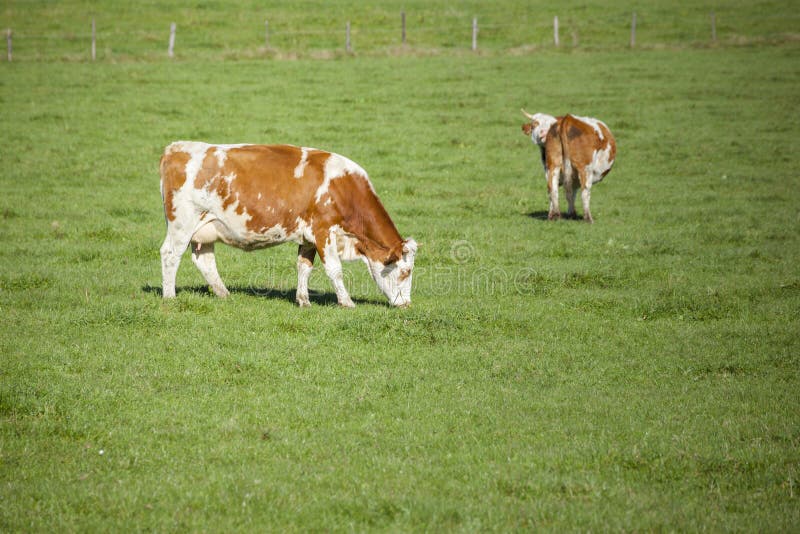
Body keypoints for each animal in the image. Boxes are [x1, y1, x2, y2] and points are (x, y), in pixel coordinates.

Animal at [159, 142, 417, 307]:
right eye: (406, 272)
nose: (407, 304)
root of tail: (176, 148)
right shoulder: (323, 231)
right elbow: (335, 269)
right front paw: (347, 302)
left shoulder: (308, 237)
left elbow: (304, 267)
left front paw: (304, 300)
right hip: (182, 223)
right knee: (170, 254)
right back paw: (170, 296)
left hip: (205, 228)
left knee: (205, 260)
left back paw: (223, 293)